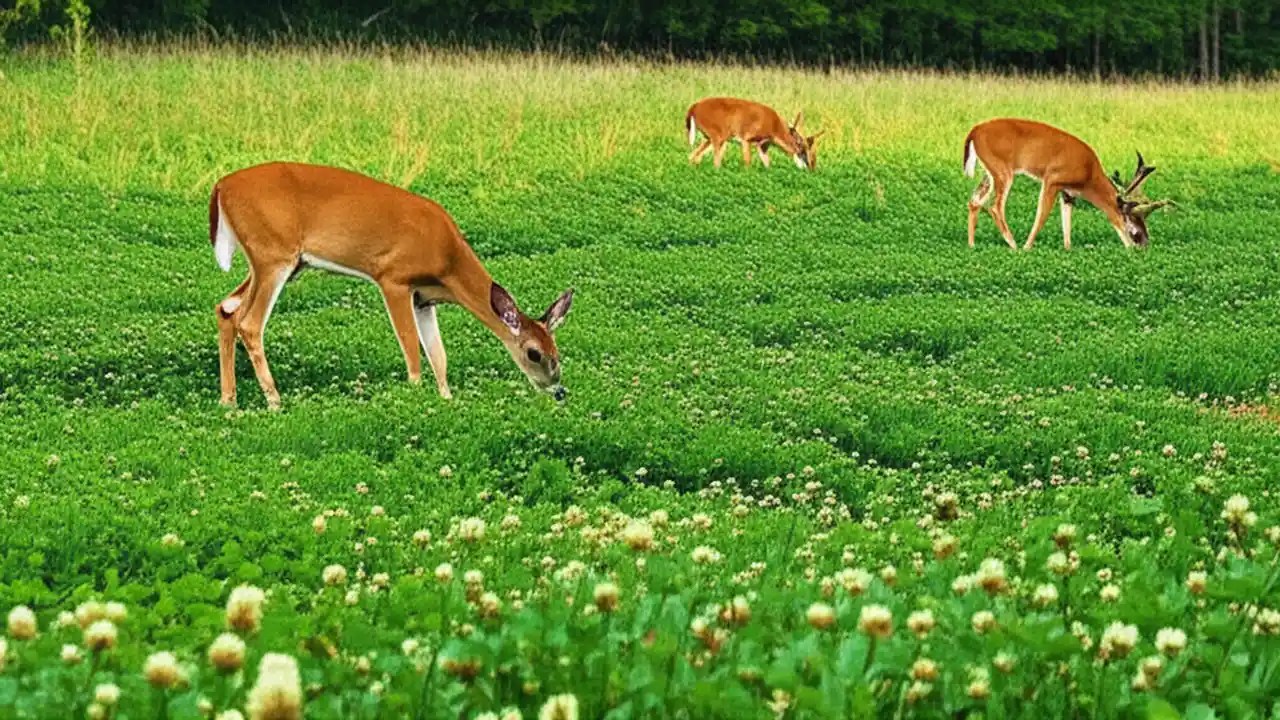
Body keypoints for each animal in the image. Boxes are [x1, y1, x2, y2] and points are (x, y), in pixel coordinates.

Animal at [209, 162, 574, 410]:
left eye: (557, 351)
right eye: (534, 353)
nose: (558, 390)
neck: (447, 259)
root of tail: (221, 187)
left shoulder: (425, 299)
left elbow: (439, 356)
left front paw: (446, 400)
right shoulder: (394, 278)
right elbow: (412, 350)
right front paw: (415, 398)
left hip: (281, 263)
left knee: (226, 308)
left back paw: (229, 402)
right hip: (273, 255)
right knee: (249, 321)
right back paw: (274, 401)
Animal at [686, 97, 824, 170]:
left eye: (814, 154)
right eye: (803, 151)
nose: (811, 169)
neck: (774, 127)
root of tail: (693, 108)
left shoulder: (762, 145)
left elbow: (767, 163)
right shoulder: (746, 138)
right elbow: (748, 162)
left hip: (711, 138)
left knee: (693, 156)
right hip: (718, 135)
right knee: (715, 162)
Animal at [963, 118, 1173, 250]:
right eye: (1134, 221)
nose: (1144, 244)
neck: (1089, 172)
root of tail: (974, 131)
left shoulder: (1068, 192)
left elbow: (1066, 220)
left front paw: (1067, 248)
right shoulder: (1052, 180)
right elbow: (1042, 215)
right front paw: (1027, 247)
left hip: (989, 173)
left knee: (974, 201)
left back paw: (972, 244)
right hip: (1002, 172)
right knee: (995, 207)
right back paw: (1014, 245)